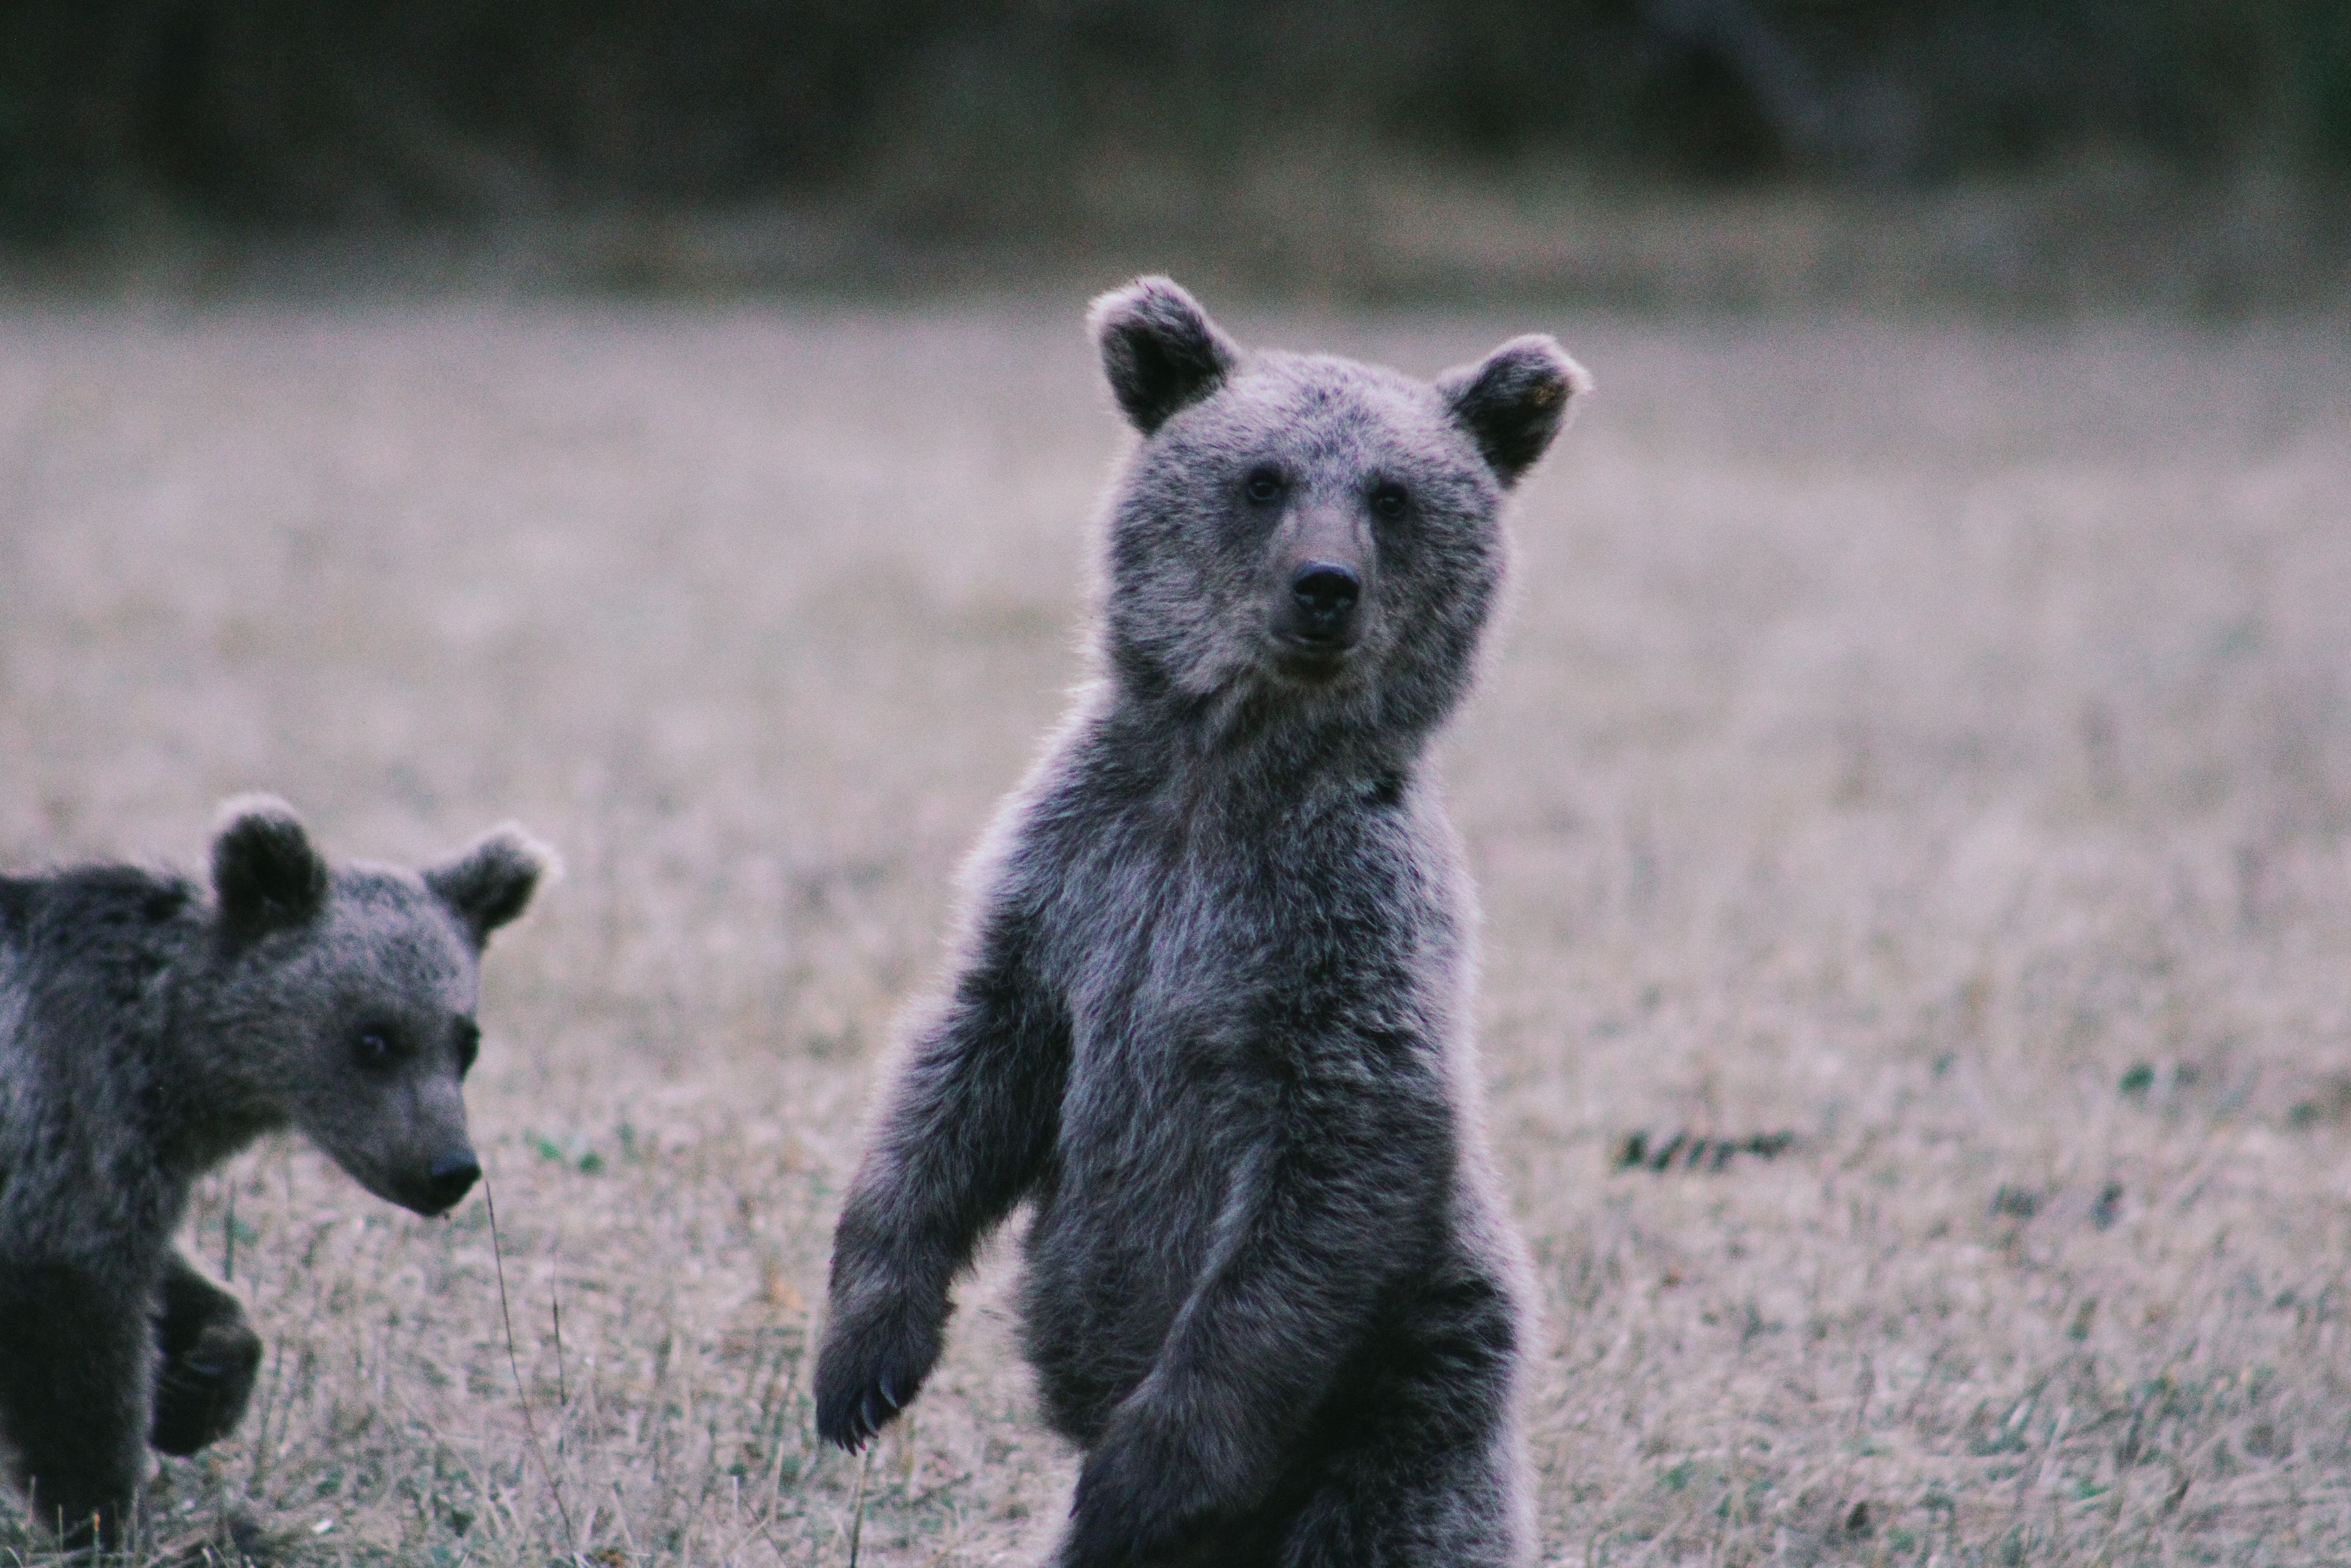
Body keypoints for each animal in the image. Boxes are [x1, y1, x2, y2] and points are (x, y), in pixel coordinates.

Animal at [0, 796, 551, 1546]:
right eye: (374, 1037)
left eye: (466, 1041)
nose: (450, 1168)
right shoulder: (65, 1117)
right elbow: (76, 1329)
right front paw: (113, 1516)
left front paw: (200, 1380)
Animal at [814, 277, 1588, 1567]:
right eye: (1263, 477)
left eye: (1393, 495)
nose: (1324, 586)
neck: (1218, 777)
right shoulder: (1072, 893)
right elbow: (960, 1082)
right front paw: (864, 1359)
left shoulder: (1336, 941)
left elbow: (1304, 1218)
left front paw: (1143, 1469)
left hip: (1414, 1392)